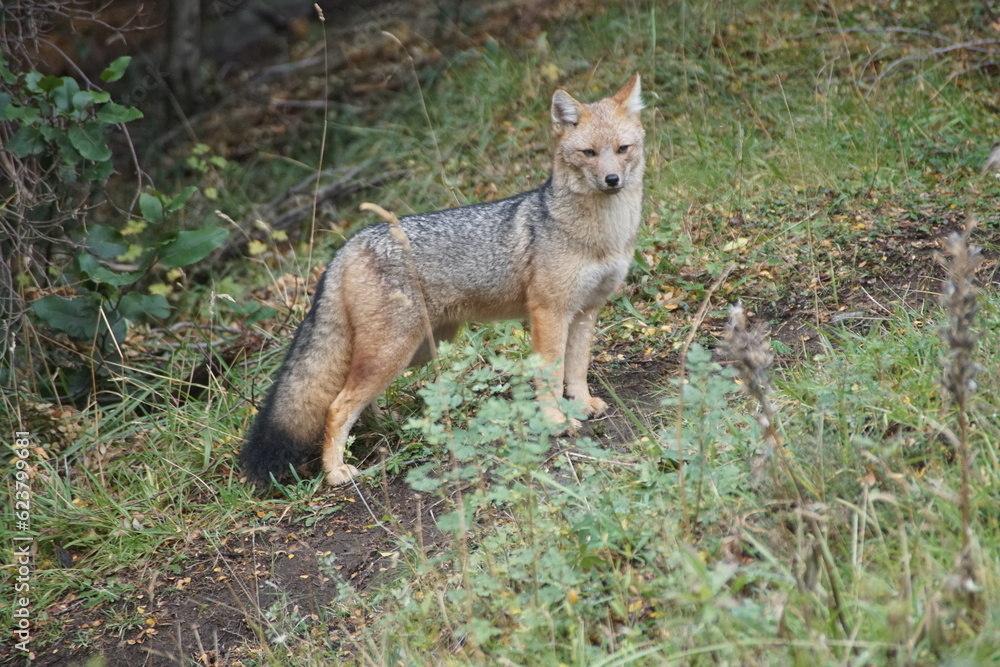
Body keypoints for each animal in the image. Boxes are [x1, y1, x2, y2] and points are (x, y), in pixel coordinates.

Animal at [240, 74, 645, 488]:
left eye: (622, 149)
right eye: (588, 153)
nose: (612, 179)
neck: (600, 236)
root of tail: (349, 244)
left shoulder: (585, 311)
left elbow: (576, 368)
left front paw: (581, 405)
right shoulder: (549, 313)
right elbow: (549, 376)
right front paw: (556, 422)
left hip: (415, 350)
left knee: (355, 400)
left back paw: (384, 429)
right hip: (393, 352)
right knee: (337, 405)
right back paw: (336, 471)